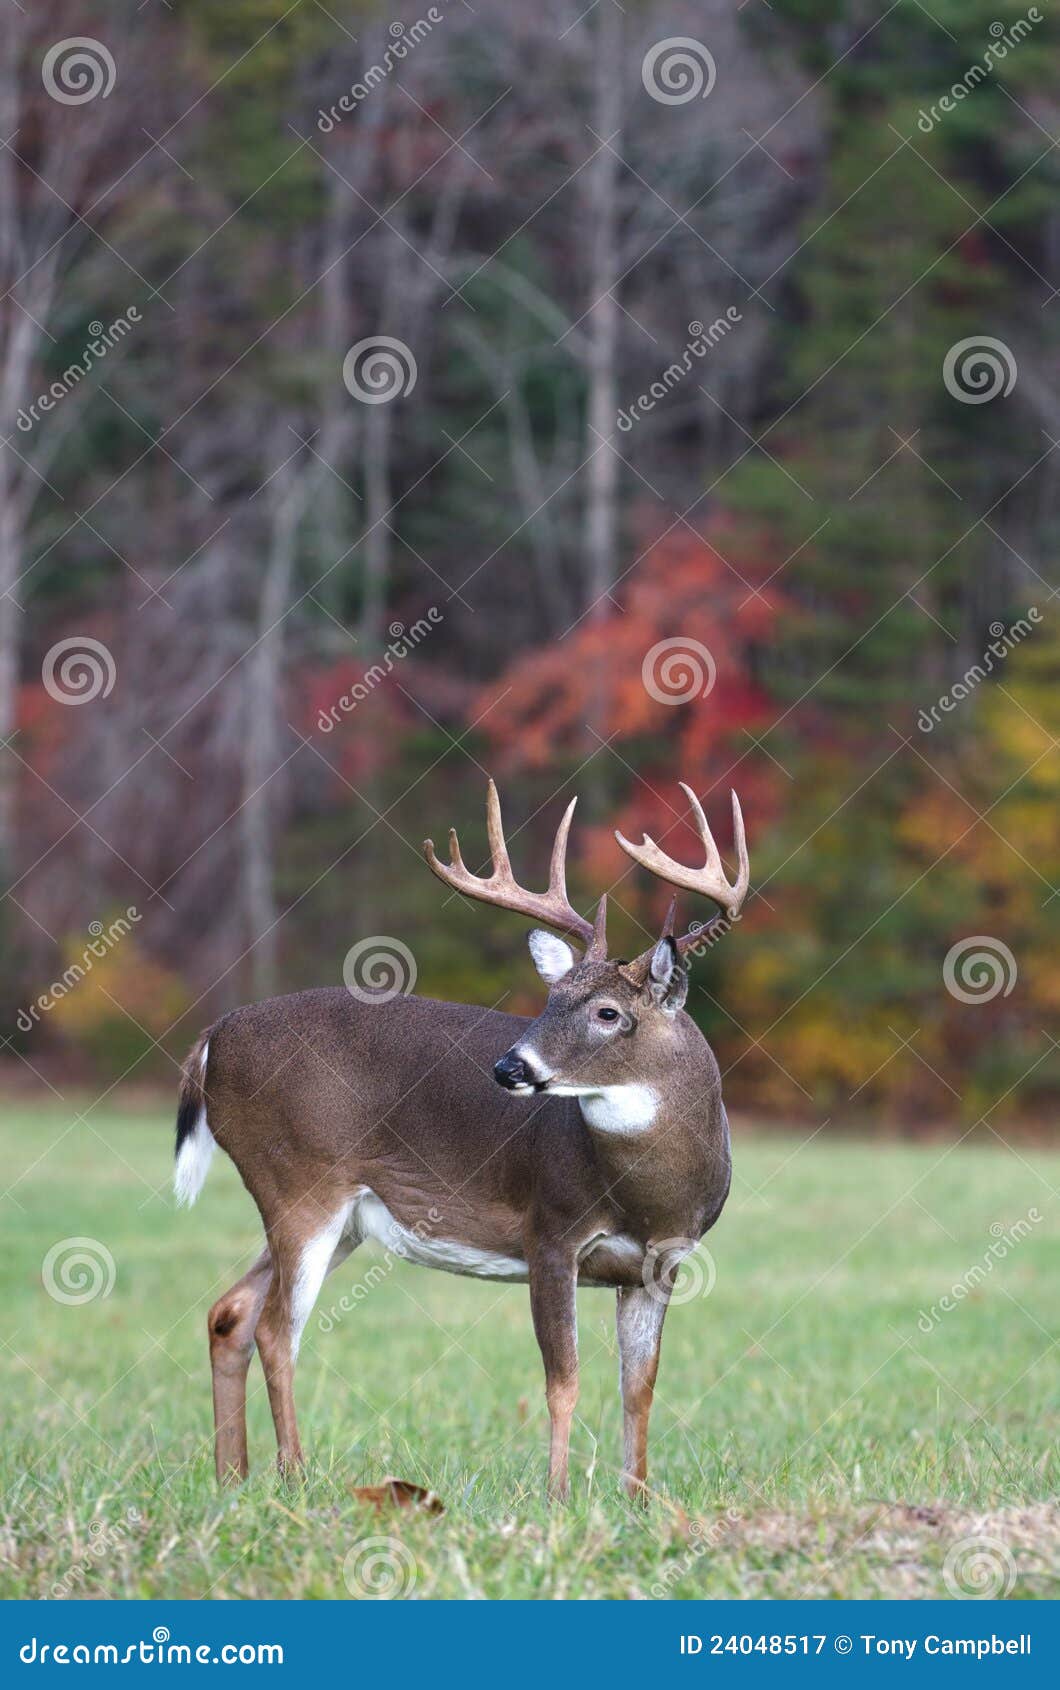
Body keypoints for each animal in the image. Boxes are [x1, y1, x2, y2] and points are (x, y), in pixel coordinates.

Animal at [174, 779, 749, 1502]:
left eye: (608, 1013)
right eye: (549, 1000)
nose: (509, 1068)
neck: (649, 1197)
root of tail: (211, 1041)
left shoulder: (659, 1264)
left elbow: (639, 1387)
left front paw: (638, 1500)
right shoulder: (551, 1230)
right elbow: (563, 1379)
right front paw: (558, 1498)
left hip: (341, 1216)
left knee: (231, 1312)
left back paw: (232, 1477)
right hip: (298, 1180)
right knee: (277, 1328)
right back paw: (295, 1475)